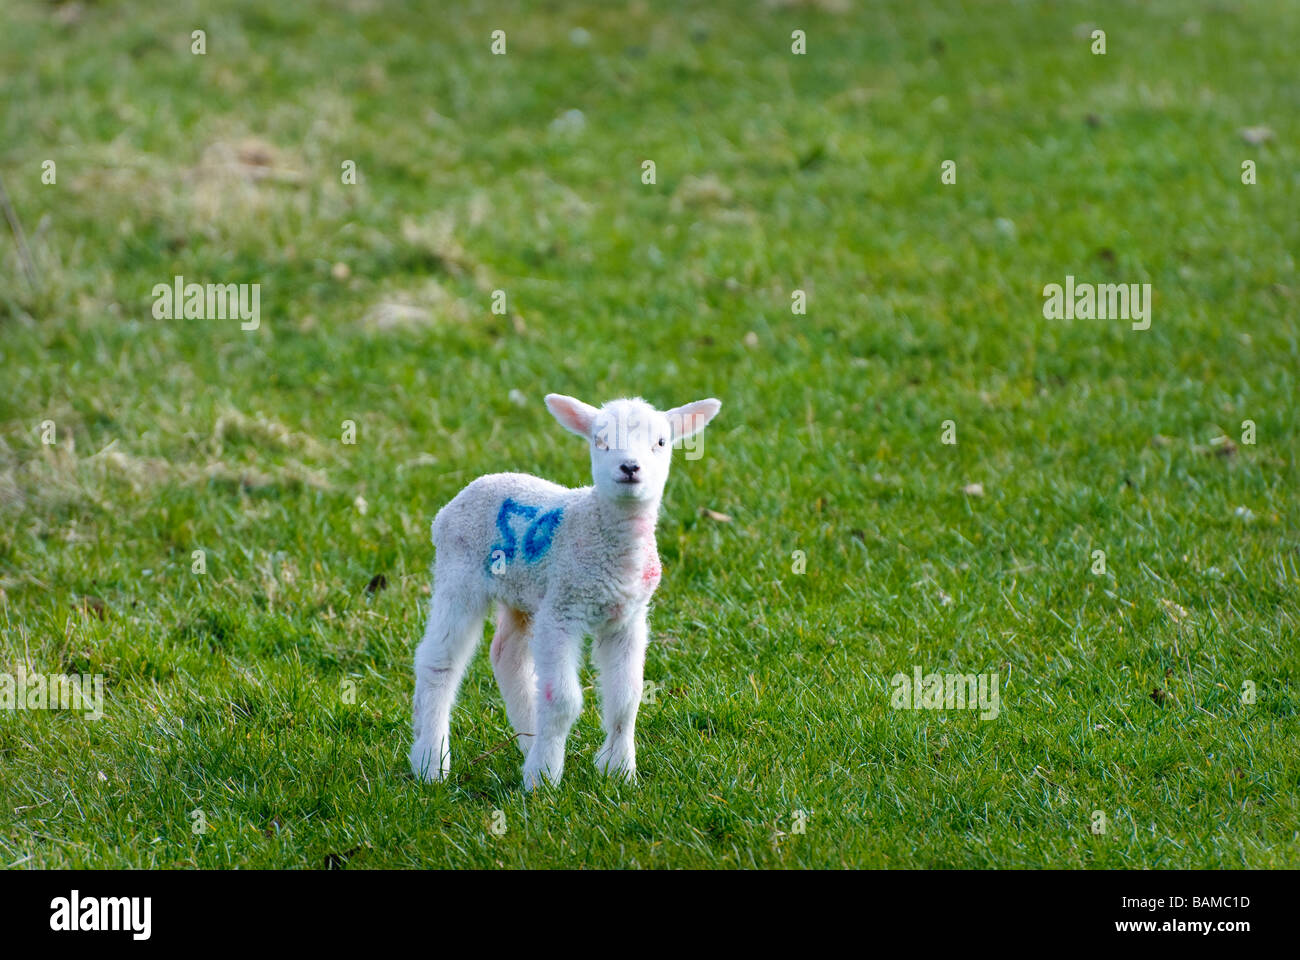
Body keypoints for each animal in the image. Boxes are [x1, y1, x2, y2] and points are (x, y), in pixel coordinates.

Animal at [410, 393, 722, 790]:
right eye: (600, 441)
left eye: (662, 442)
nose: (630, 467)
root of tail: (476, 484)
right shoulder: (562, 610)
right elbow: (562, 700)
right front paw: (543, 781)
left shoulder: (627, 618)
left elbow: (626, 698)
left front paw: (619, 770)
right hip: (459, 575)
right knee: (438, 662)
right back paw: (431, 764)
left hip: (525, 591)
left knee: (508, 657)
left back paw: (529, 743)